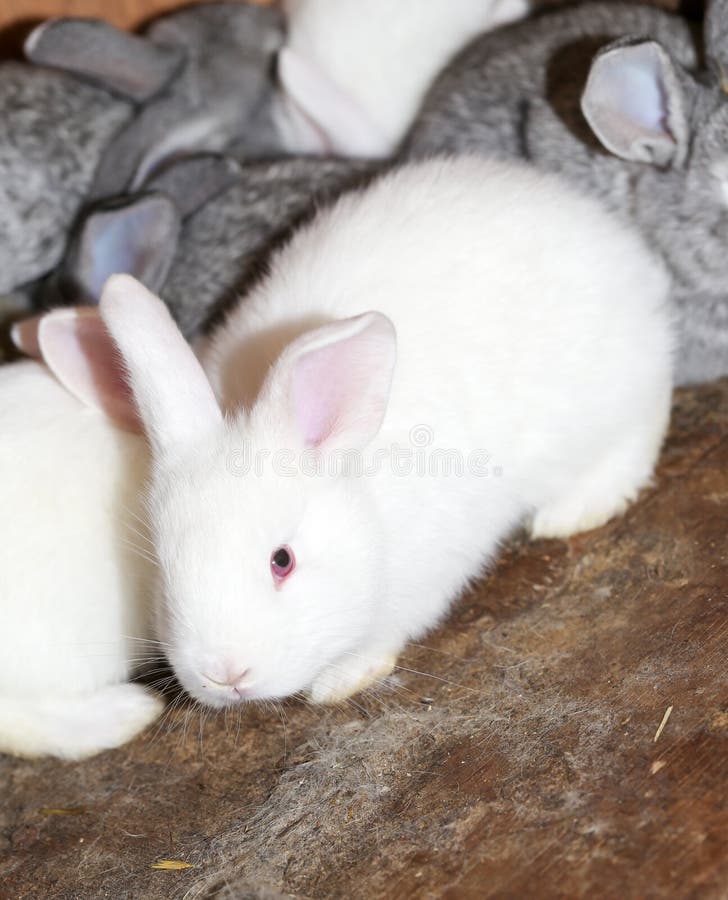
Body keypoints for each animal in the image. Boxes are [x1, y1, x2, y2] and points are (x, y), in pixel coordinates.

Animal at [95, 156, 673, 708]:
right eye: (163, 571)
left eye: (283, 561)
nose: (225, 674)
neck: (365, 511)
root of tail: (613, 239)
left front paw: (341, 680)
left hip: (616, 397)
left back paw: (569, 515)